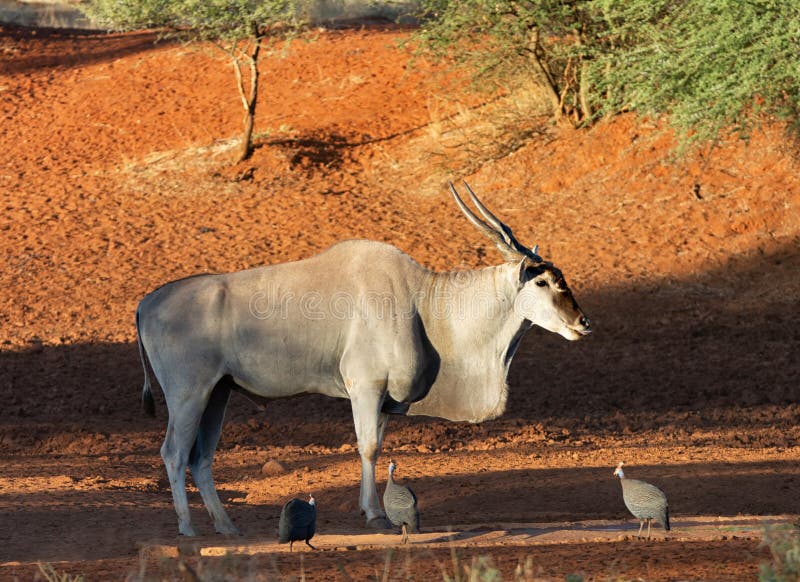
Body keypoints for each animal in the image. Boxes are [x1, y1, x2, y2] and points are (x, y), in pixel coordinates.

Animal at [136, 182, 591, 536]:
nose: (582, 322)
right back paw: (188, 528)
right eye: (544, 282)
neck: (423, 301)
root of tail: (145, 303)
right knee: (174, 453)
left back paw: (227, 527)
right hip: (189, 394)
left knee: (201, 459)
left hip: (218, 394)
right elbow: (368, 447)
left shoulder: (384, 401)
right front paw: (374, 515)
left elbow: (377, 445)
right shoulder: (365, 388)